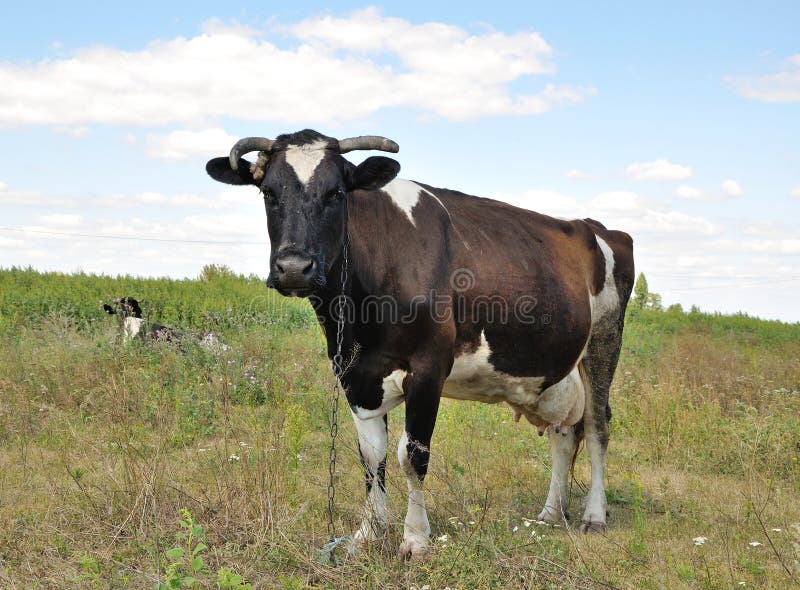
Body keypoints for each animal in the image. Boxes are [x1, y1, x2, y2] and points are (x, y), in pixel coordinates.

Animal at [206, 129, 635, 559]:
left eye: (337, 192)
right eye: (268, 192)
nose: (294, 268)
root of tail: (595, 227)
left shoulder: (429, 367)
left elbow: (412, 456)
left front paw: (415, 538)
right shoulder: (353, 372)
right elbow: (371, 456)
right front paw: (369, 532)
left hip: (604, 341)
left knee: (596, 427)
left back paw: (594, 515)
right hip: (558, 369)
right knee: (564, 434)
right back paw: (550, 513)